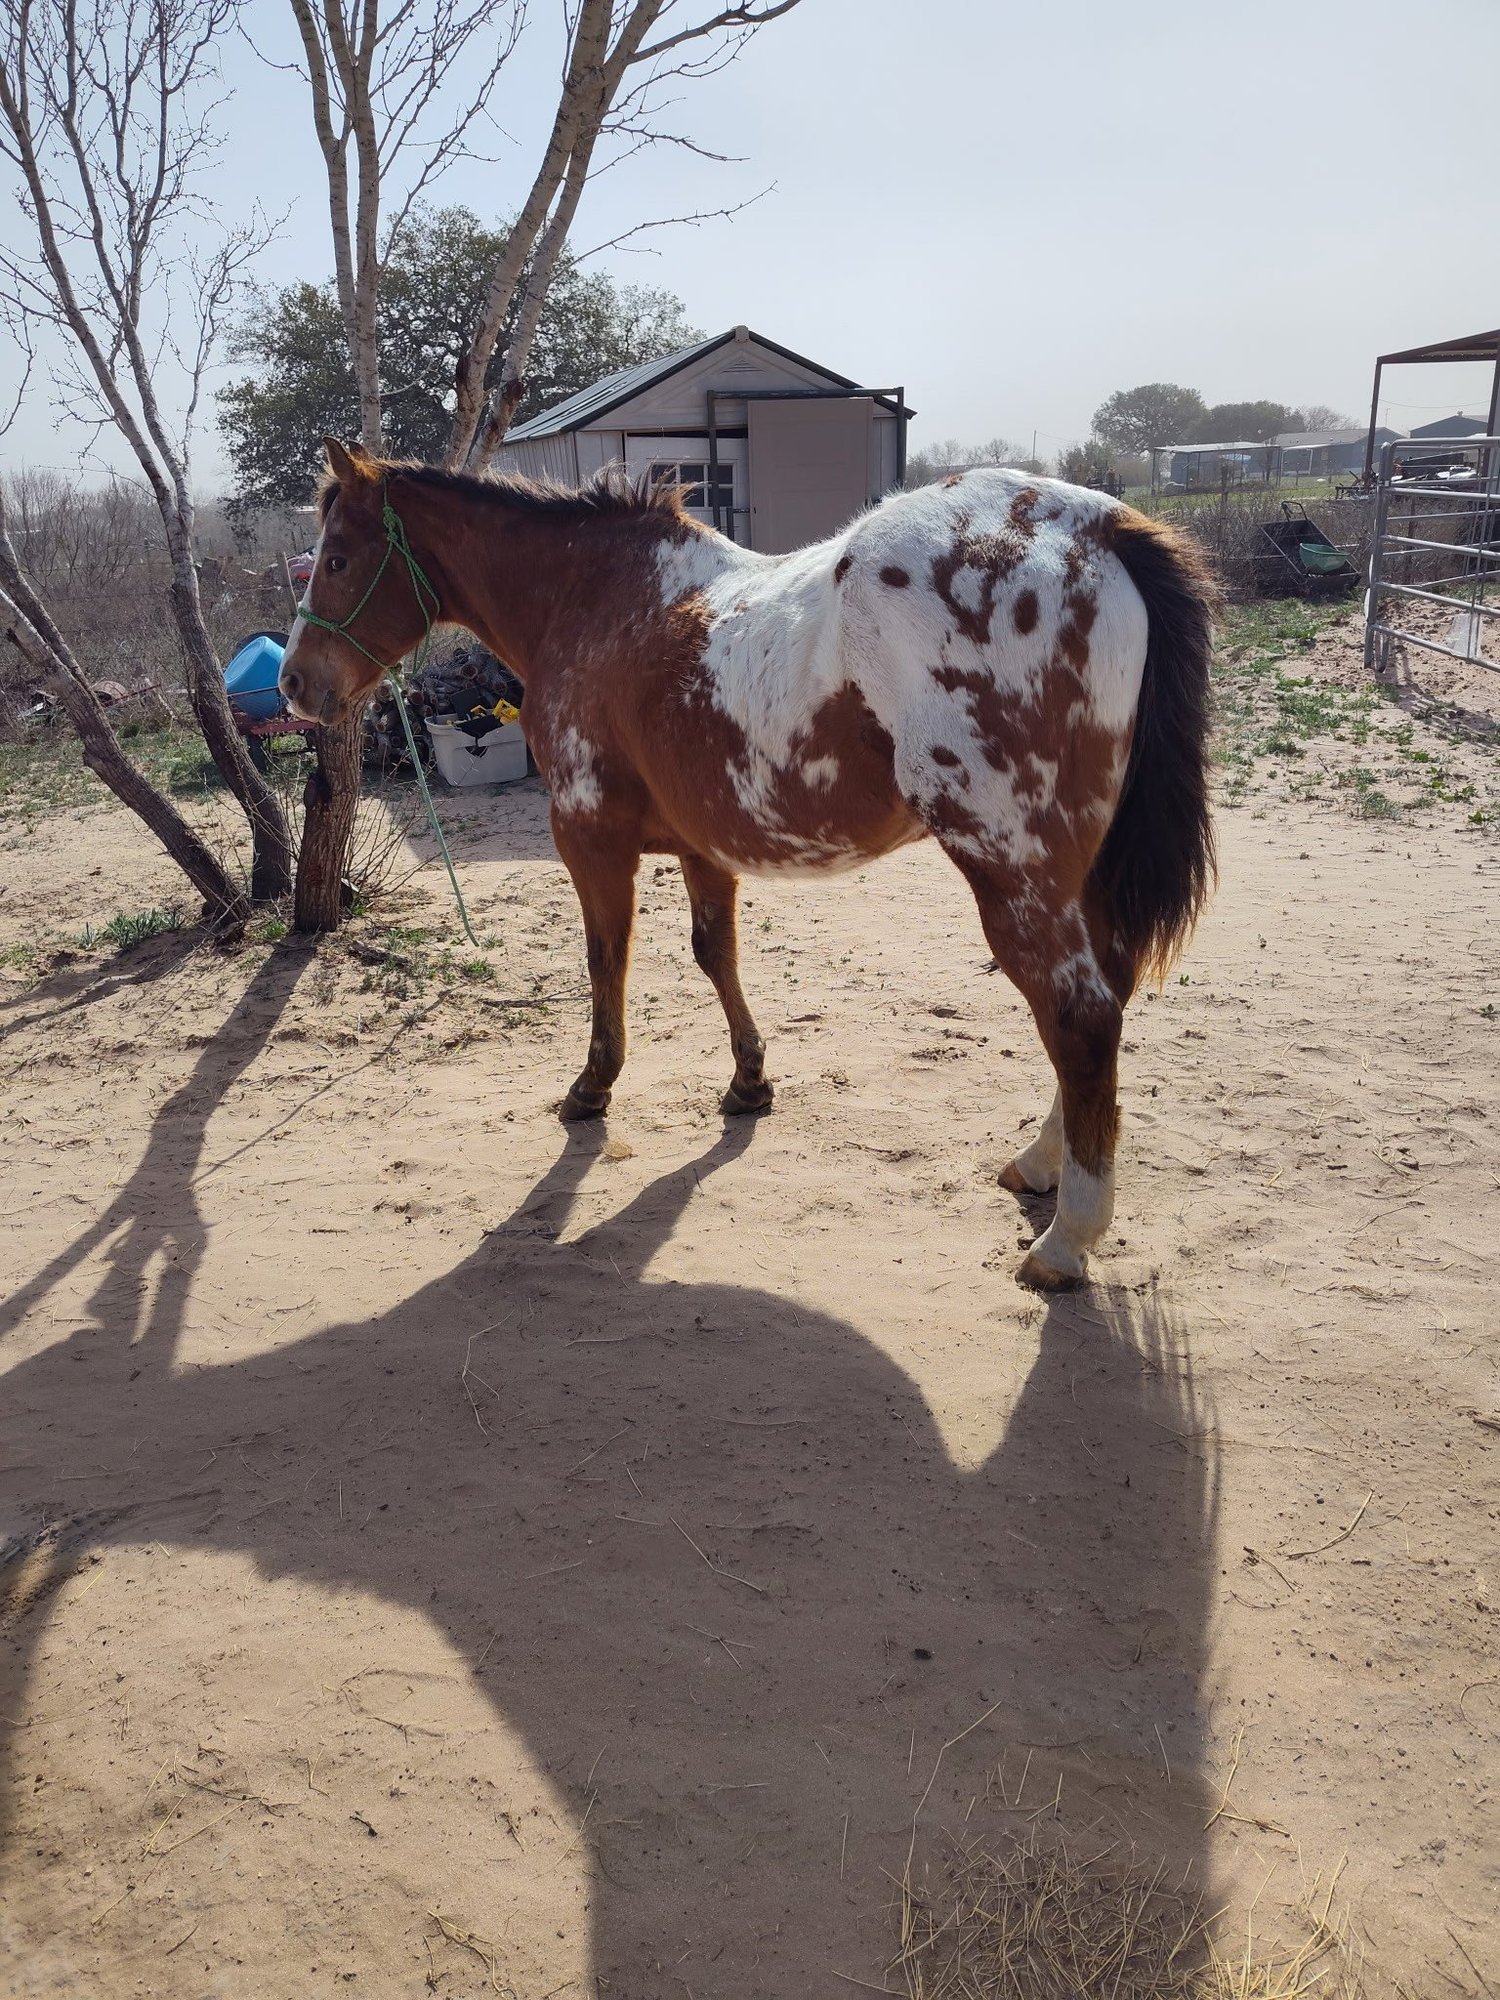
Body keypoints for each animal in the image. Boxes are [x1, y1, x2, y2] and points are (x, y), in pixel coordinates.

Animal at [278, 438, 1217, 1289]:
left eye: (336, 557)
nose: (293, 685)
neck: (595, 599)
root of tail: (1092, 525)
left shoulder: (588, 835)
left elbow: (606, 960)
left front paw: (593, 1087)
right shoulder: (704, 845)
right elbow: (715, 954)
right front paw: (749, 1081)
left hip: (1013, 871)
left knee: (1078, 1018)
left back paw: (1066, 1240)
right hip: (1078, 878)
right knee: (1100, 1003)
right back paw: (1041, 1164)